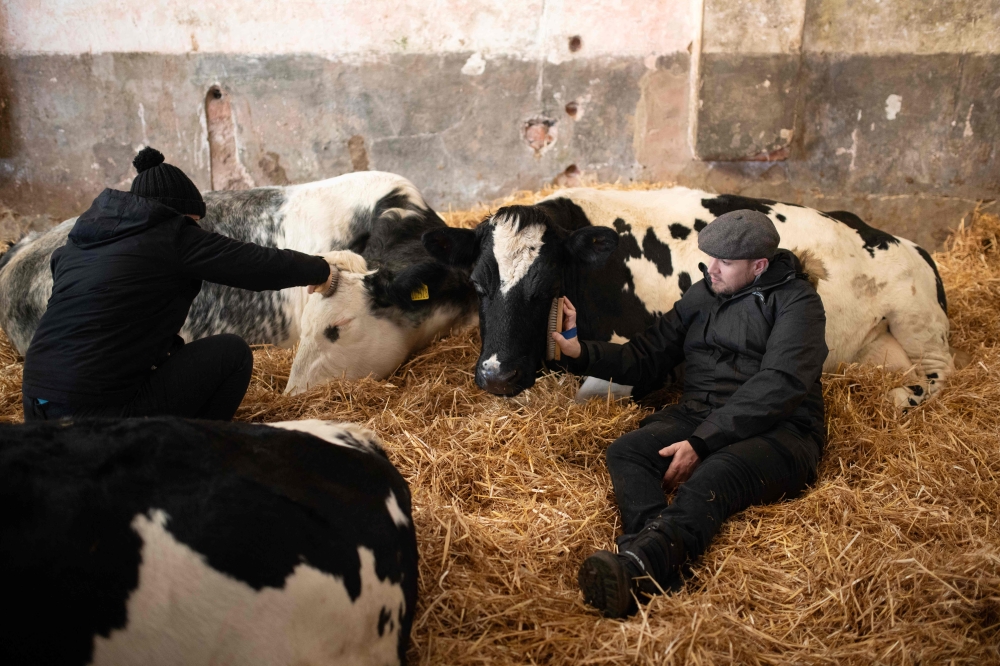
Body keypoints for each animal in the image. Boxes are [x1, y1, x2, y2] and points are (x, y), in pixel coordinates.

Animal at [422, 186, 956, 411]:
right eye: (478, 285)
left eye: (548, 287)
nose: (497, 375)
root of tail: (902, 240)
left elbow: (588, 394)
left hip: (916, 317)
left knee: (941, 372)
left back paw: (901, 397)